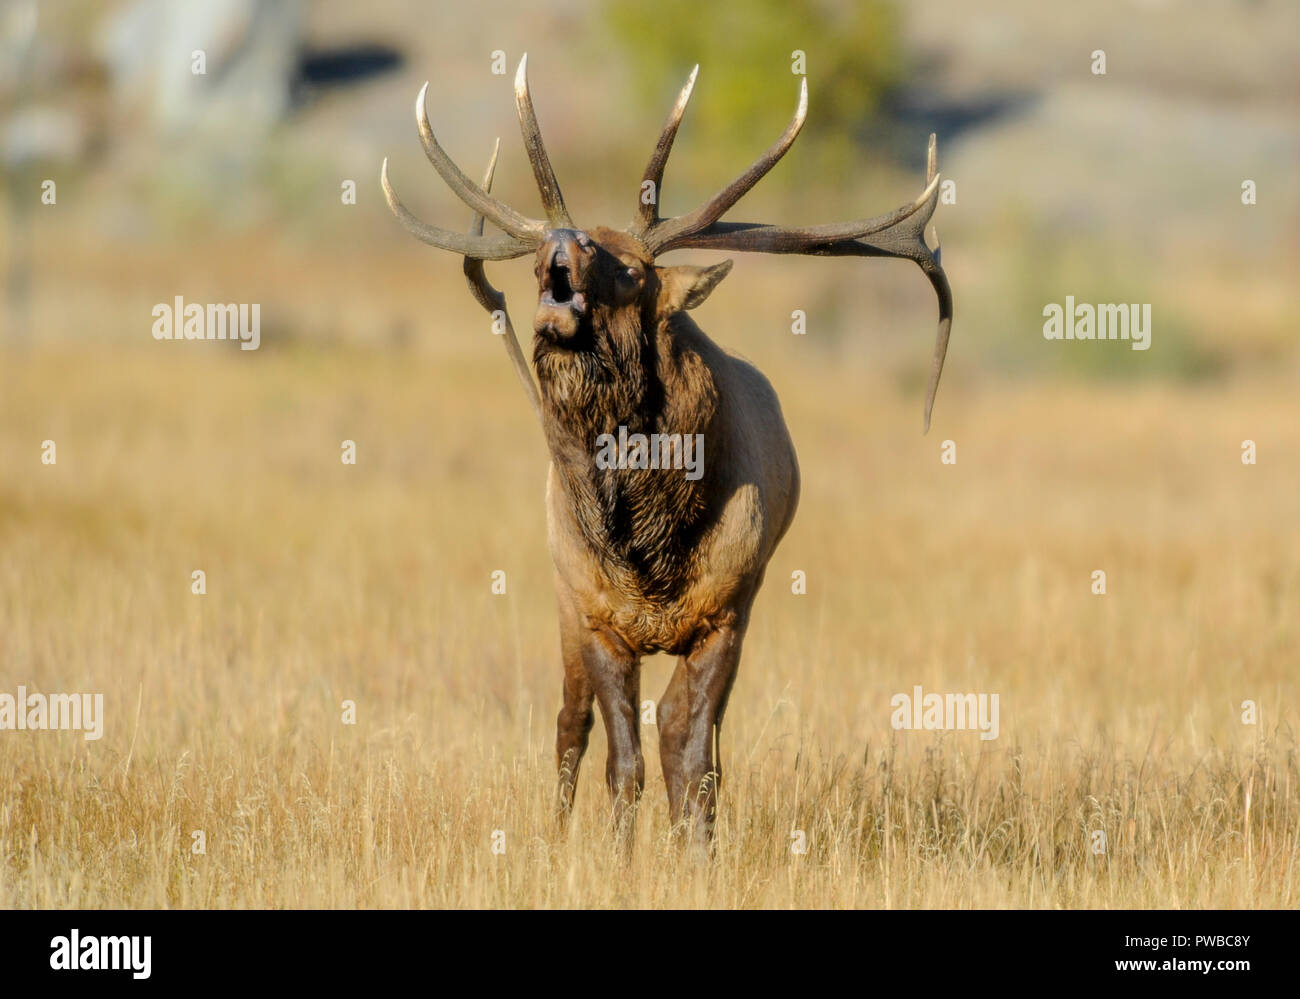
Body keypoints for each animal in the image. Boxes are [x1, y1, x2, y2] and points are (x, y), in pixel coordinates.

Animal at [380, 57, 952, 849]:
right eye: (560, 250)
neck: (648, 548)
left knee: (694, 738)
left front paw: (697, 852)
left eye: (631, 267)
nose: (560, 243)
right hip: (561, 600)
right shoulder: (595, 614)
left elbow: (689, 747)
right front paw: (617, 854)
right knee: (569, 724)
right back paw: (558, 829)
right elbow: (622, 760)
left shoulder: (729, 609)